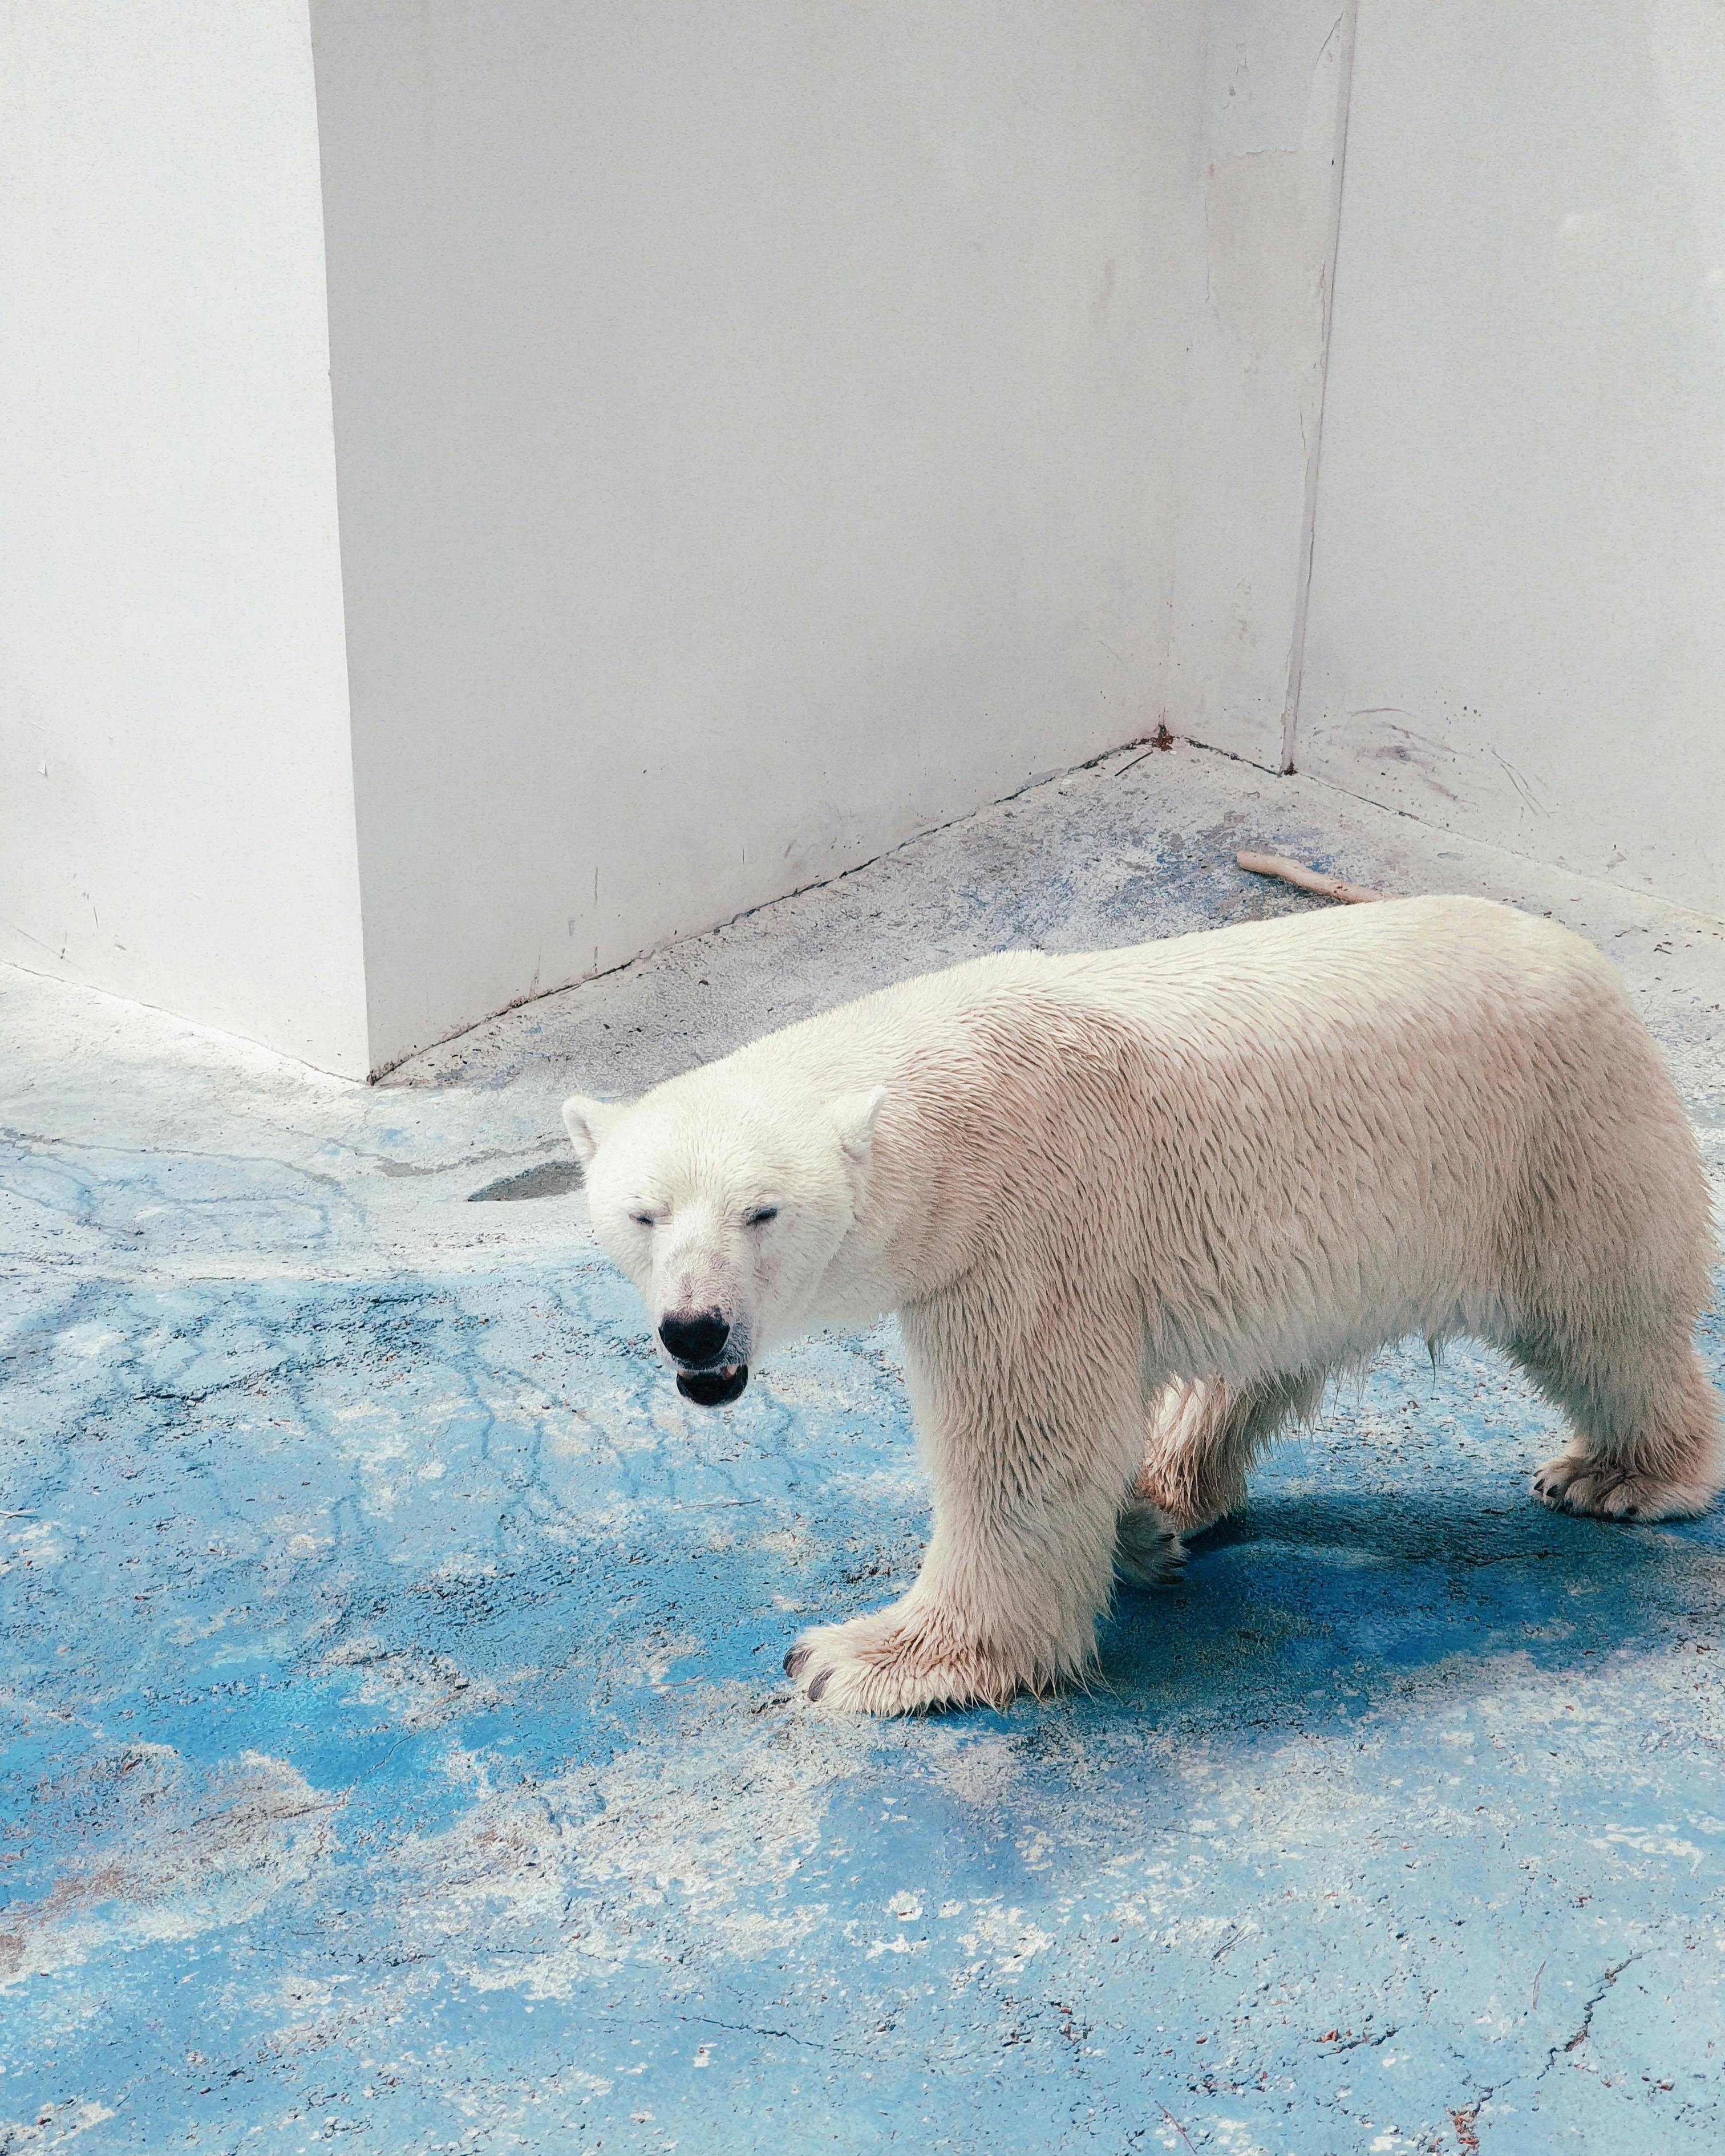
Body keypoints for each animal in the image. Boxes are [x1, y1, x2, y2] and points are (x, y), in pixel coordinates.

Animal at [563, 894, 1722, 1714]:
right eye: (642, 1213)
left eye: (760, 1212)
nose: (694, 1330)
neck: (948, 1106)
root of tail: (1588, 960)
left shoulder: (1027, 1227)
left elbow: (1025, 1443)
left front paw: (861, 1658)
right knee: (1249, 1361)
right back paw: (1161, 1499)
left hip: (1557, 1142)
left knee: (1606, 1320)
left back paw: (1618, 1474)